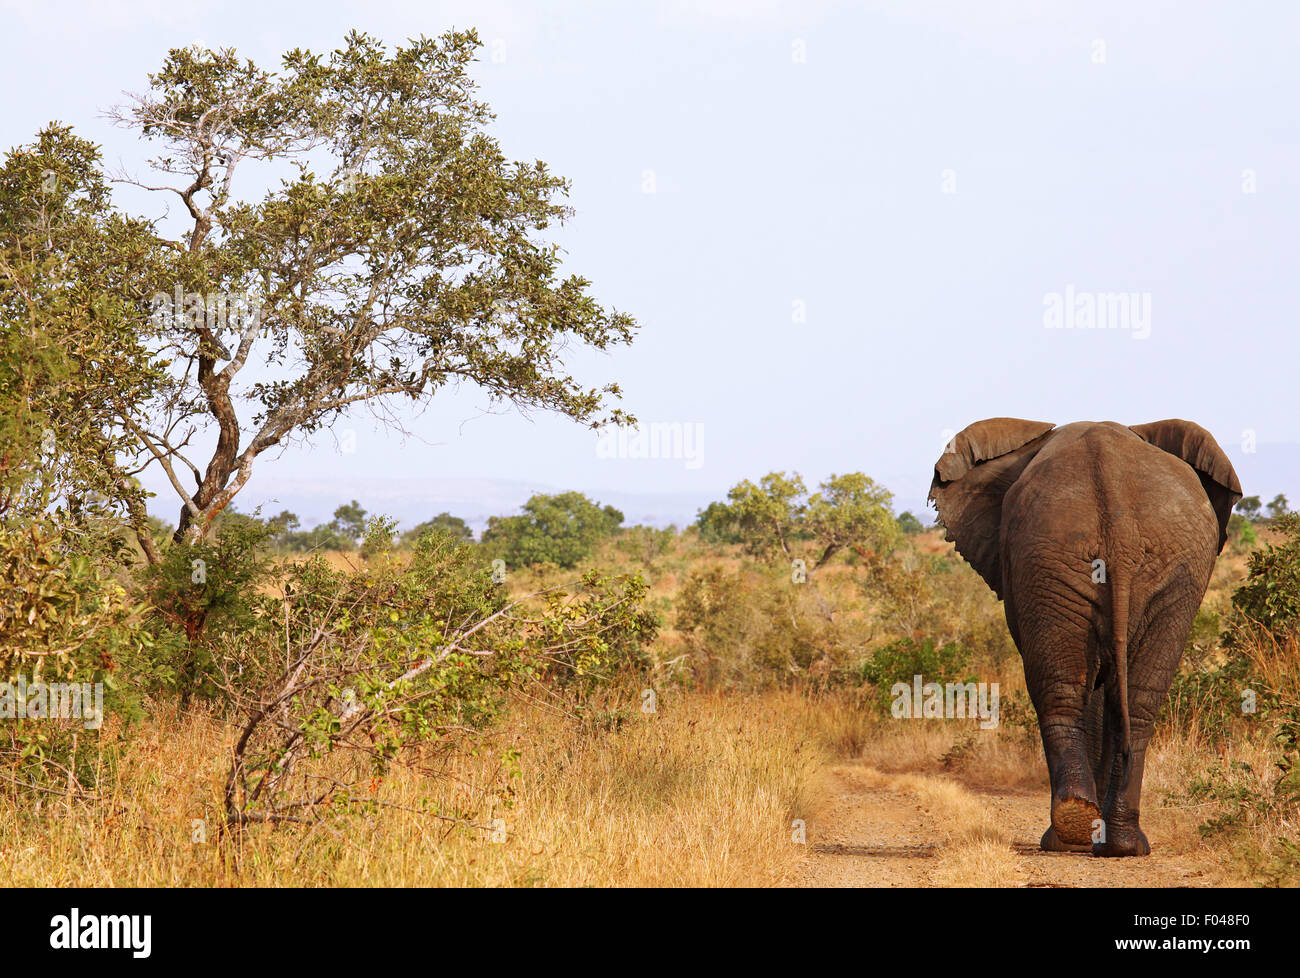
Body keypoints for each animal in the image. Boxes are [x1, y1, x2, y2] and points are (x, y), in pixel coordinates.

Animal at [928, 418, 1241, 857]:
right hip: (1086, 563)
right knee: (1131, 699)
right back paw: (1112, 842)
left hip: (1087, 561)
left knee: (1070, 692)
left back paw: (1079, 836)